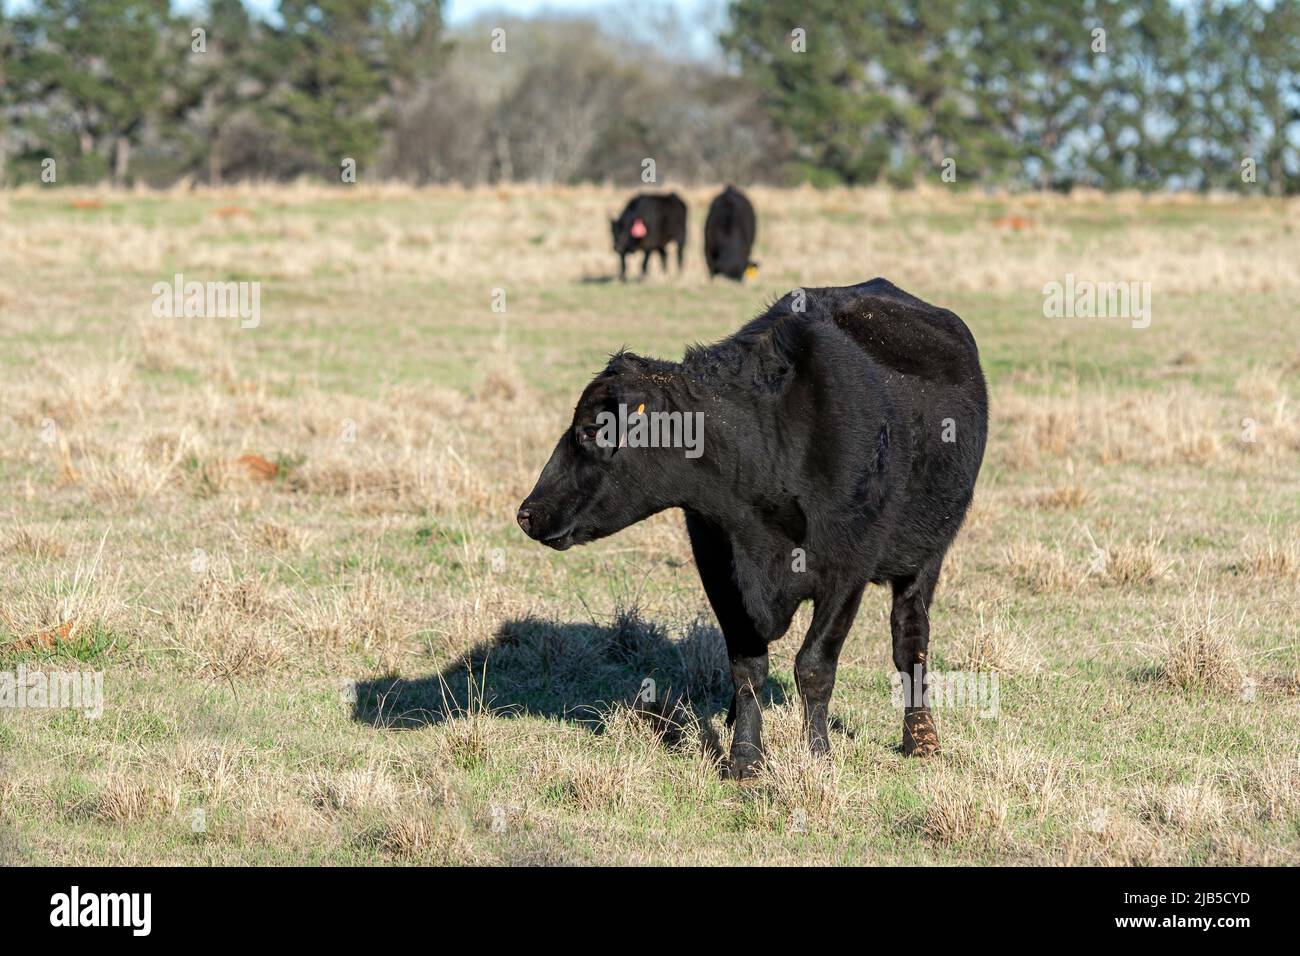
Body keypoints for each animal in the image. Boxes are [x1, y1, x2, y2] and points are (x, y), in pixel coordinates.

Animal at [517, 279, 989, 779]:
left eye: (591, 431)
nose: (527, 513)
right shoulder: (720, 567)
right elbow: (747, 667)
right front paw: (745, 757)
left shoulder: (847, 572)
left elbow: (815, 665)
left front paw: (816, 753)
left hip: (927, 556)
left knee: (910, 636)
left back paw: (921, 736)